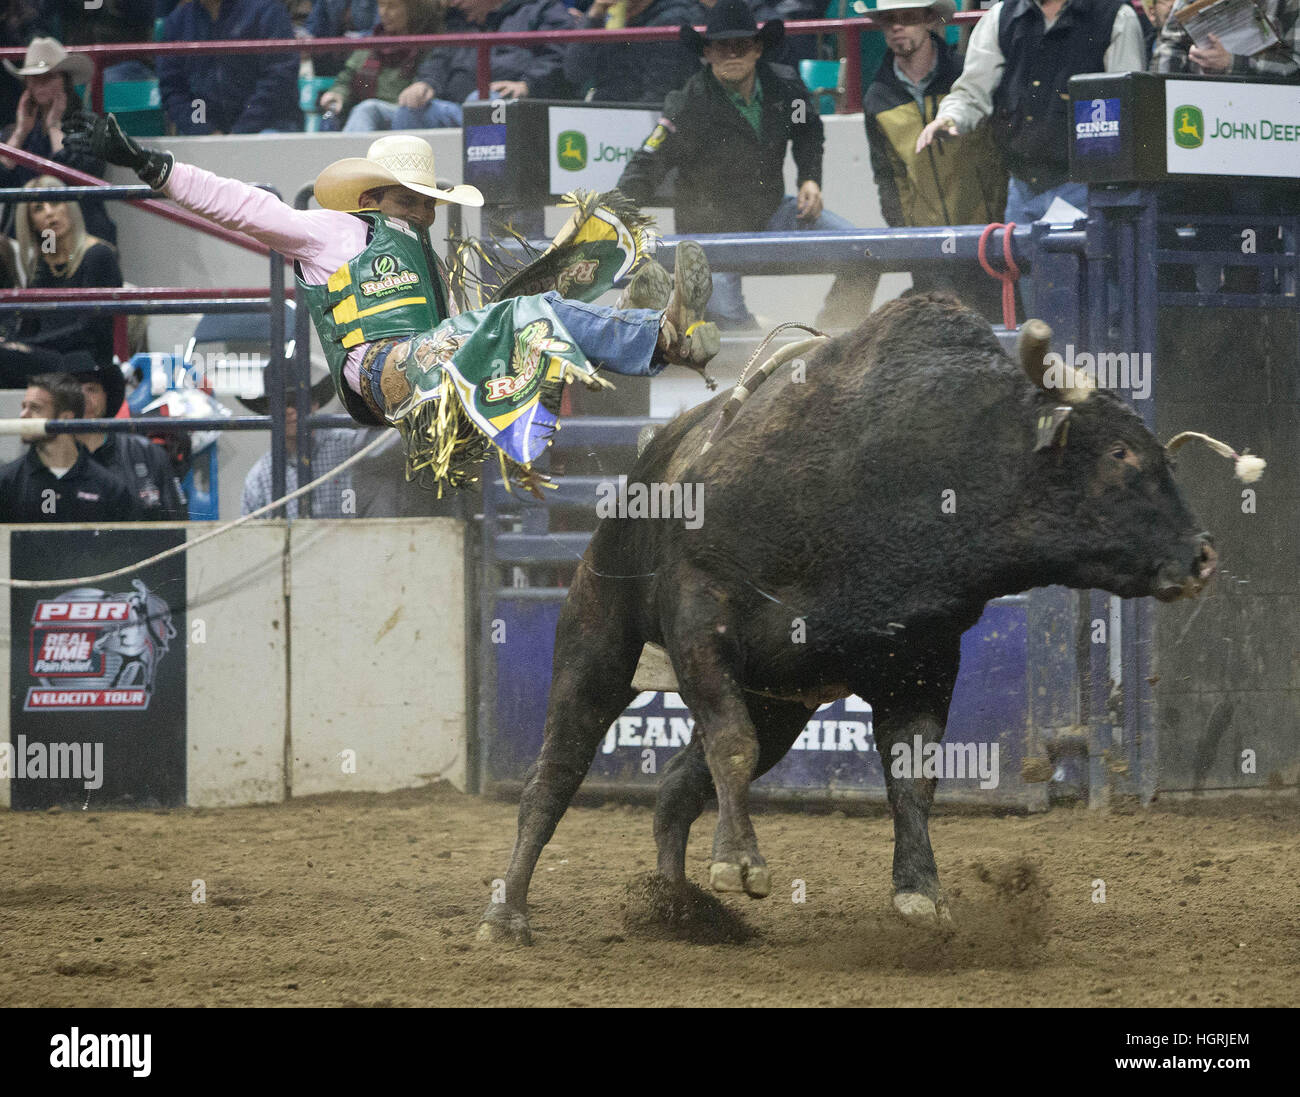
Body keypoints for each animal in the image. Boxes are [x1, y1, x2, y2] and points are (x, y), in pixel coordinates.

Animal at [478, 293, 1234, 945]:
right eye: (1119, 454)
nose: (1202, 555)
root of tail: (644, 470)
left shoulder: (922, 661)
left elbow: (910, 775)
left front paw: (920, 892)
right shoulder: (702, 610)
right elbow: (732, 746)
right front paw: (742, 863)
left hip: (779, 703)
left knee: (675, 792)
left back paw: (678, 909)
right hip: (597, 638)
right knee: (556, 776)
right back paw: (508, 915)